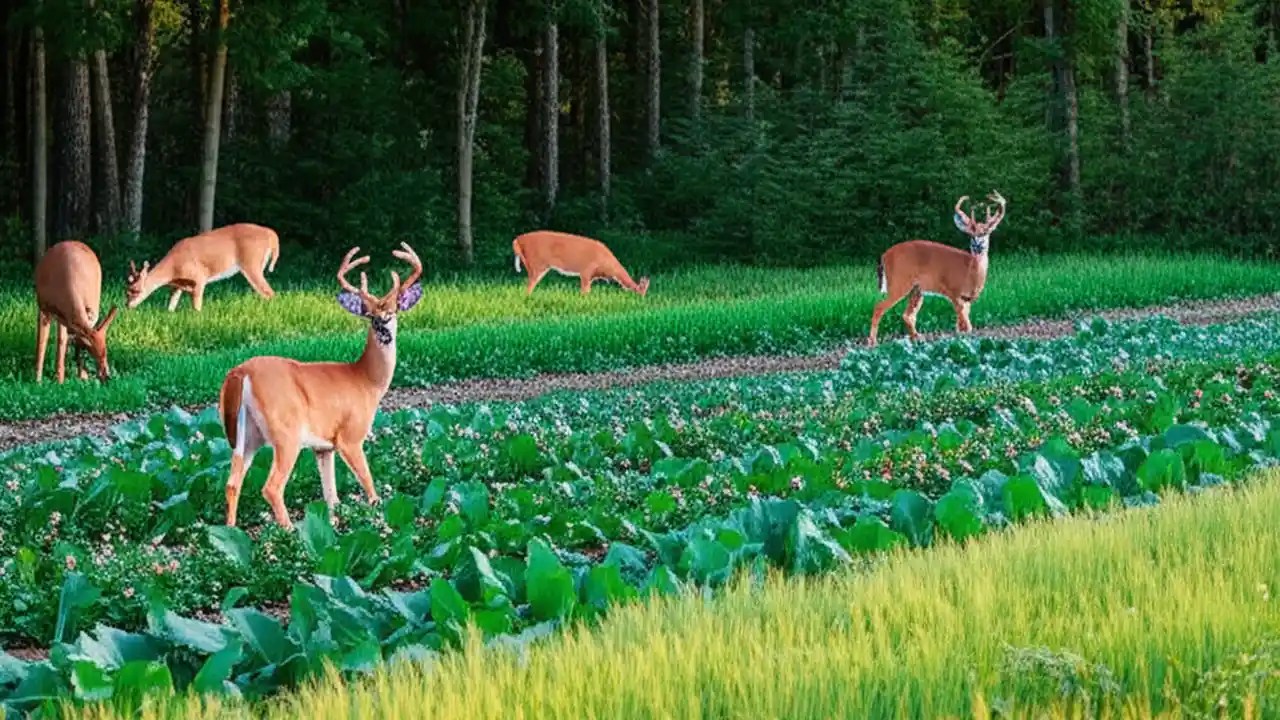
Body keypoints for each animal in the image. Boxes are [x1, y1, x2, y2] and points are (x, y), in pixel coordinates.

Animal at [34, 240, 120, 384]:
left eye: (105, 352)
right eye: (93, 352)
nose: (107, 376)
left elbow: (66, 341)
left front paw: (63, 378)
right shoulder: (44, 308)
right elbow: (42, 342)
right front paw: (38, 380)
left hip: (91, 308)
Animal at [125, 223, 280, 312]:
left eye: (136, 290)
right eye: (126, 291)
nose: (127, 305)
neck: (172, 269)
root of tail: (272, 235)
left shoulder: (199, 277)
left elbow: (197, 307)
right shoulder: (177, 286)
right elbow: (171, 306)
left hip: (251, 262)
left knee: (270, 293)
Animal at [219, 243, 425, 530]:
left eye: (392, 313)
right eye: (371, 316)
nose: (384, 331)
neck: (366, 380)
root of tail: (241, 372)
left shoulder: (324, 447)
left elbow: (331, 495)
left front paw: (333, 526)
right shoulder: (350, 435)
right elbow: (369, 484)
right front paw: (376, 519)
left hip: (245, 432)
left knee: (232, 482)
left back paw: (229, 532)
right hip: (286, 431)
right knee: (271, 487)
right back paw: (289, 531)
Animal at [512, 230, 650, 297]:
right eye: (640, 291)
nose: (643, 299)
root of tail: (517, 241)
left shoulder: (592, 276)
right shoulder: (586, 271)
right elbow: (584, 292)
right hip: (537, 263)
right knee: (529, 284)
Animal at [867, 190, 1007, 347]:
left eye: (986, 233)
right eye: (971, 234)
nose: (978, 246)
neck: (970, 272)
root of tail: (884, 256)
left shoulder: (967, 299)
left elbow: (961, 325)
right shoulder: (953, 291)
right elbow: (966, 325)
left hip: (917, 289)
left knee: (908, 315)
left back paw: (917, 339)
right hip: (899, 282)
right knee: (879, 307)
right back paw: (873, 342)